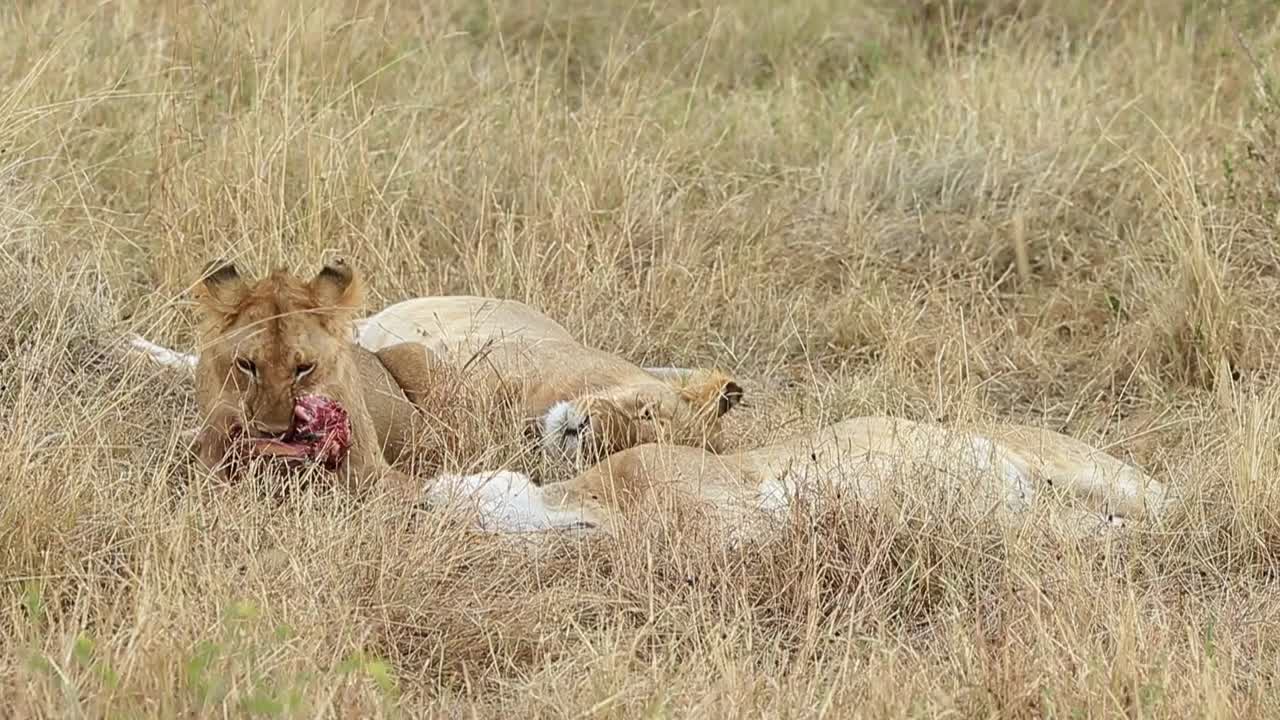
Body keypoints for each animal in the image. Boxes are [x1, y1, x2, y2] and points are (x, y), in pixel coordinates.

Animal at [190, 258, 450, 496]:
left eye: (304, 367)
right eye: (246, 365)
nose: (273, 433)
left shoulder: (375, 470)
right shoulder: (208, 465)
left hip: (416, 352)